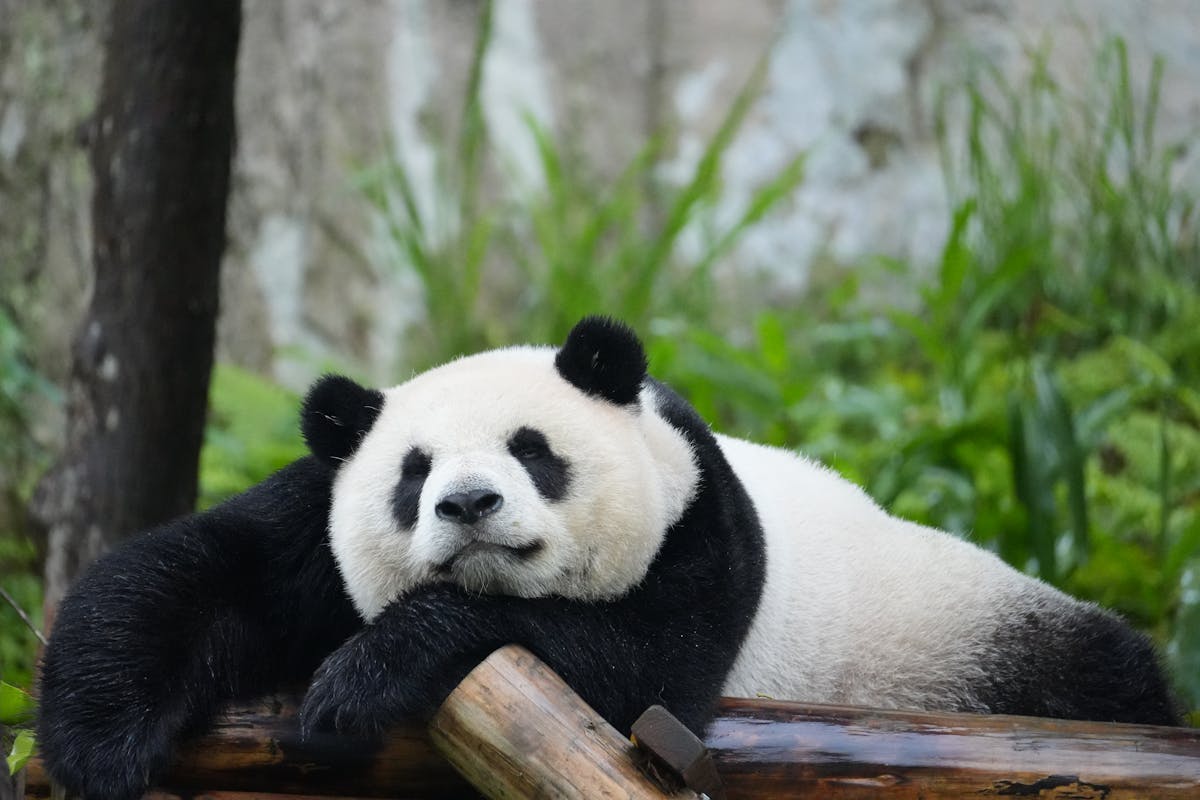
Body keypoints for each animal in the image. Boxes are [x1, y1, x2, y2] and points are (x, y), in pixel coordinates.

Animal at [38, 317, 1179, 800]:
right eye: (412, 471)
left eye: (532, 449)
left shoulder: (703, 532)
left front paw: (364, 678)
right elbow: (195, 572)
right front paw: (98, 746)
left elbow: (622, 671)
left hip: (971, 638)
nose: (468, 504)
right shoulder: (312, 523)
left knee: (1110, 676)